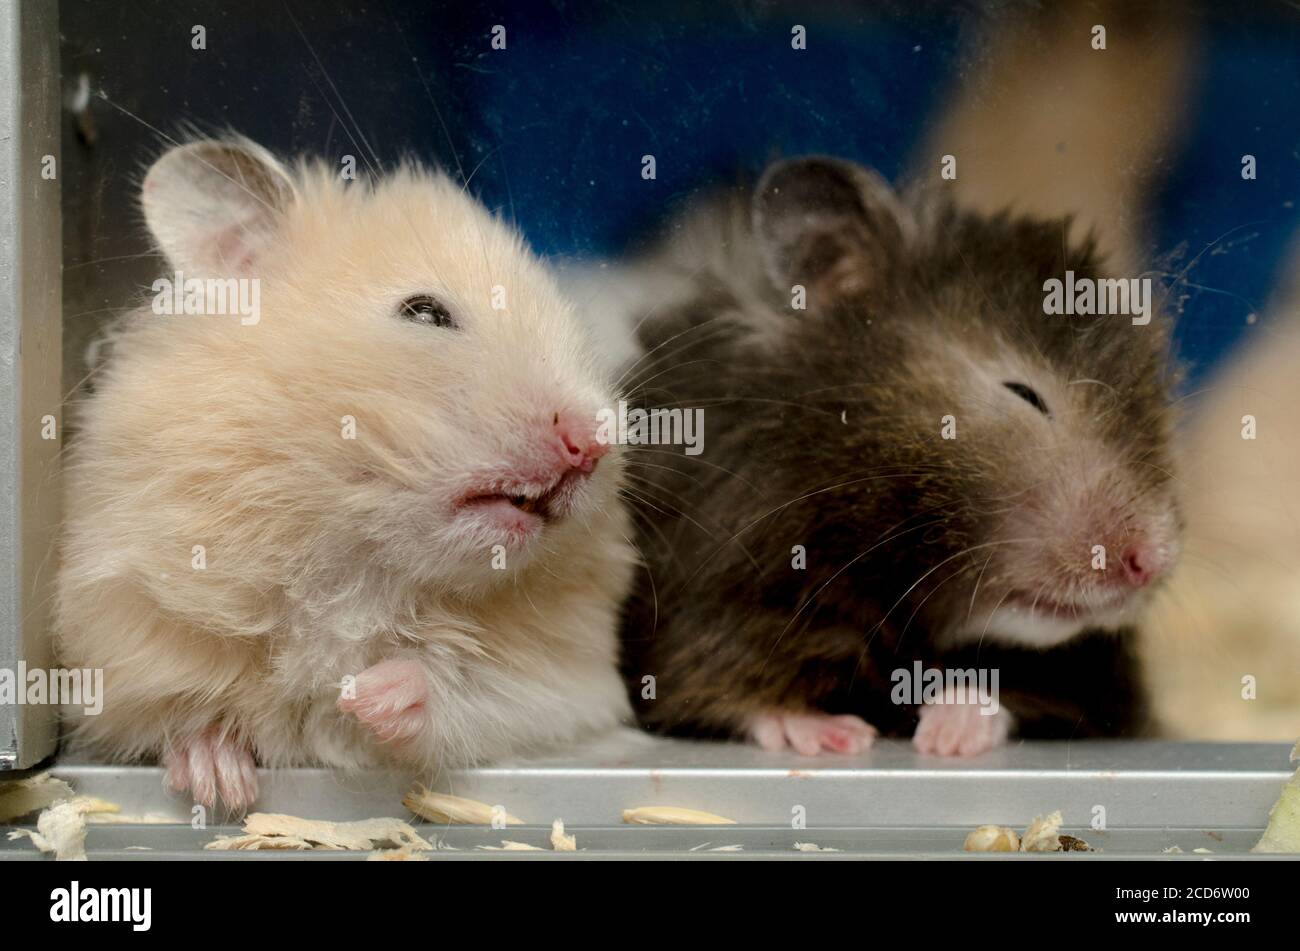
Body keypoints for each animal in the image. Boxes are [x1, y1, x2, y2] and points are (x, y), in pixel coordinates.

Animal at [54, 137, 636, 809]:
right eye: (425, 313)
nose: (592, 444)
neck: (361, 569)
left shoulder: (572, 681)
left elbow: (473, 688)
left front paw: (368, 697)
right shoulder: (123, 632)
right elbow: (172, 710)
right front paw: (221, 783)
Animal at [618, 156, 1182, 756]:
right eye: (1023, 394)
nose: (1153, 563)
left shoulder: (1099, 684)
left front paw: (946, 734)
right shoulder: (710, 583)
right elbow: (726, 681)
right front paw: (833, 736)